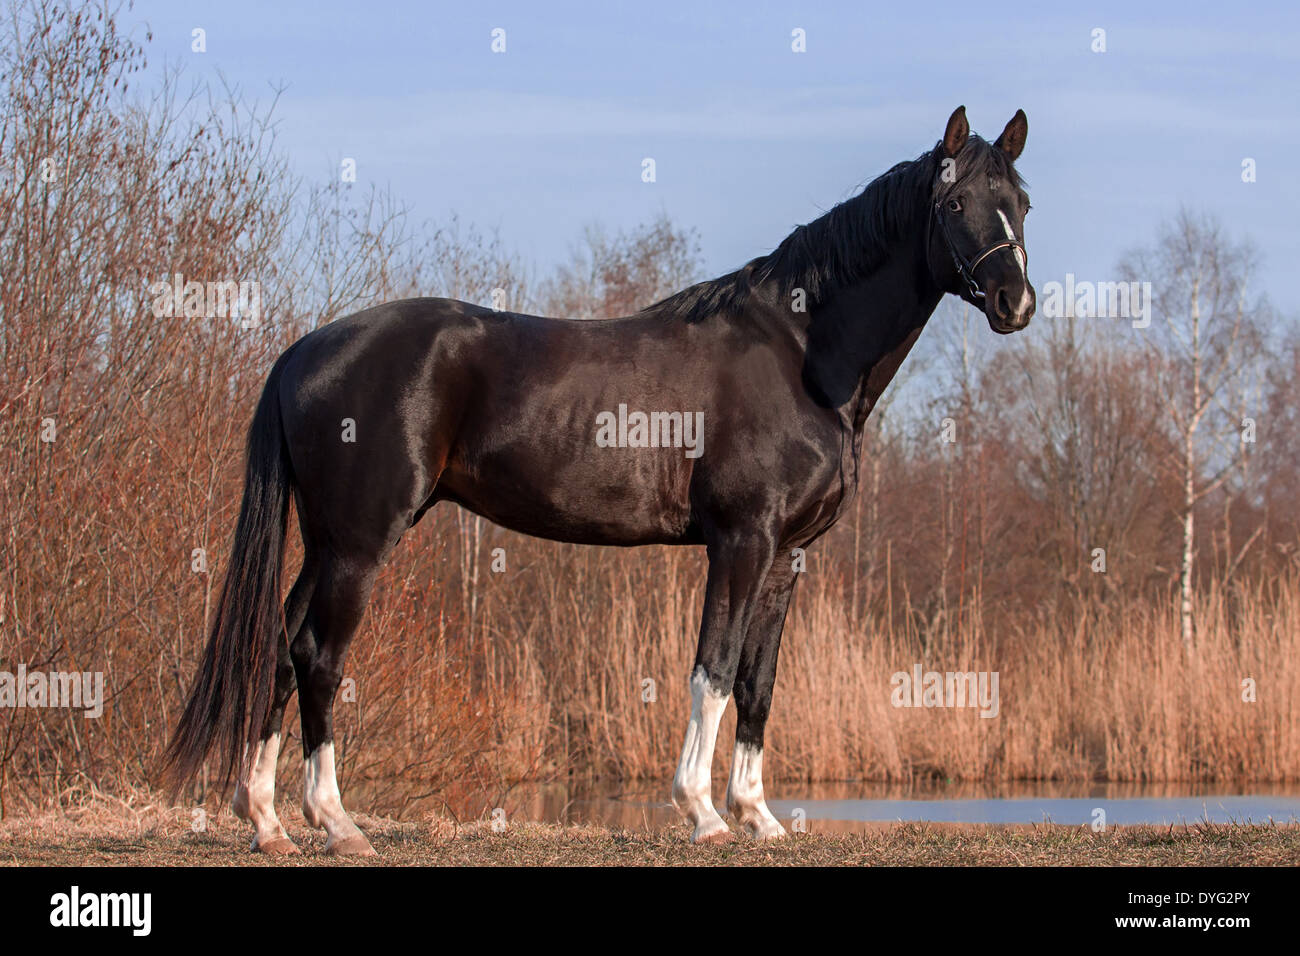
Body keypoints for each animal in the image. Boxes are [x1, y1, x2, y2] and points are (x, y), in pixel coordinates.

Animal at [162, 106, 1034, 854]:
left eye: (1021, 201)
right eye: (956, 201)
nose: (1015, 302)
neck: (801, 352)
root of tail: (303, 349)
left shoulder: (787, 557)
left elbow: (758, 684)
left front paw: (758, 817)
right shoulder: (741, 542)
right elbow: (713, 670)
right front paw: (703, 814)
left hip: (324, 541)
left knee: (279, 648)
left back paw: (268, 823)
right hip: (359, 544)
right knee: (318, 657)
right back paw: (337, 824)